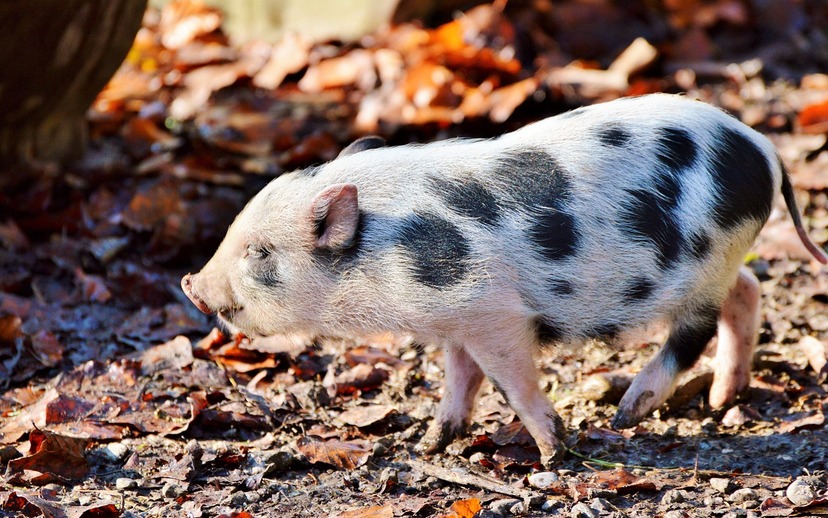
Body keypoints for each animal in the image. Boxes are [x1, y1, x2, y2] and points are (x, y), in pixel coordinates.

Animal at [181, 94, 828, 466]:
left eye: (260, 252)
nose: (190, 283)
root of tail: (763, 146)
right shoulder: (456, 320)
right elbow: (460, 380)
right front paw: (430, 444)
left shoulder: (492, 311)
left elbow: (511, 382)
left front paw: (551, 454)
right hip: (718, 264)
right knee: (748, 291)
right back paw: (721, 401)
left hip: (705, 262)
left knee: (692, 333)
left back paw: (626, 415)